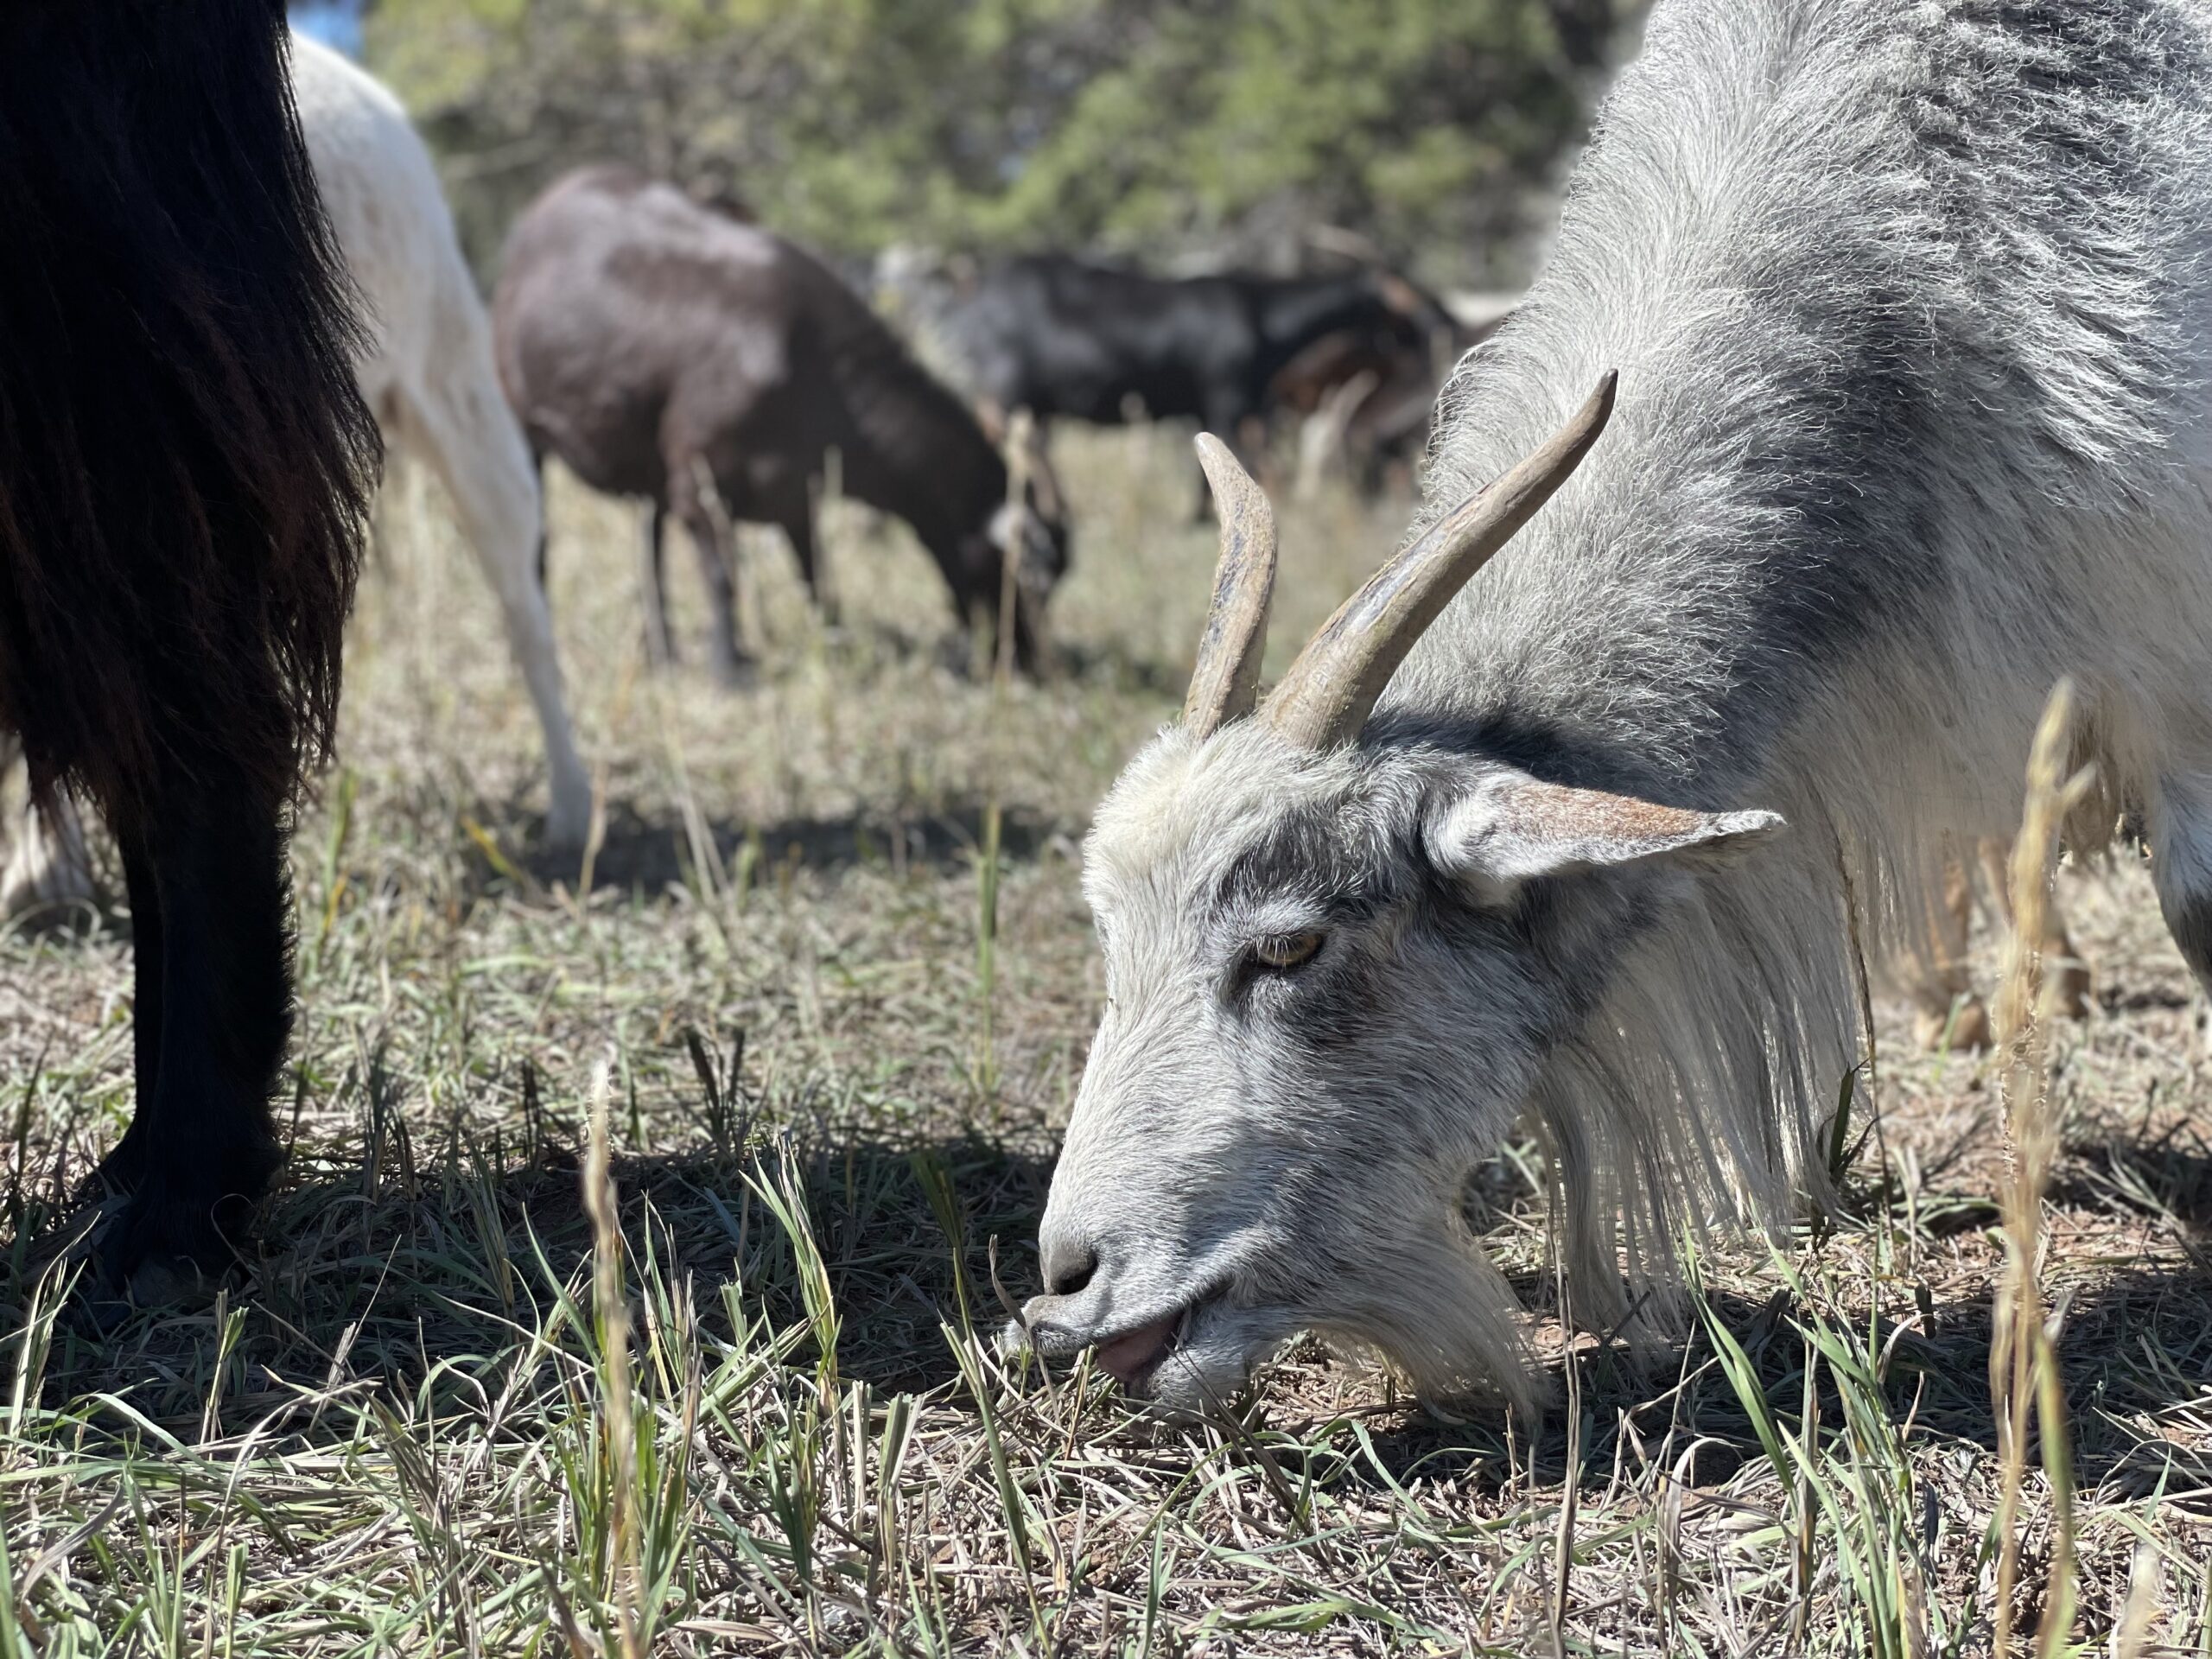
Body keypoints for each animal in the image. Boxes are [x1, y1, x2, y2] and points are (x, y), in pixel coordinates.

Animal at [494, 167, 1069, 680]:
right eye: (1026, 580)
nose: (1029, 660)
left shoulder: (798, 498)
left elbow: (818, 578)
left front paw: (834, 646)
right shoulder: (699, 485)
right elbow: (722, 577)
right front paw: (728, 669)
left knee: (648, 544)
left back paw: (663, 653)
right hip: (520, 423)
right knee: (534, 540)